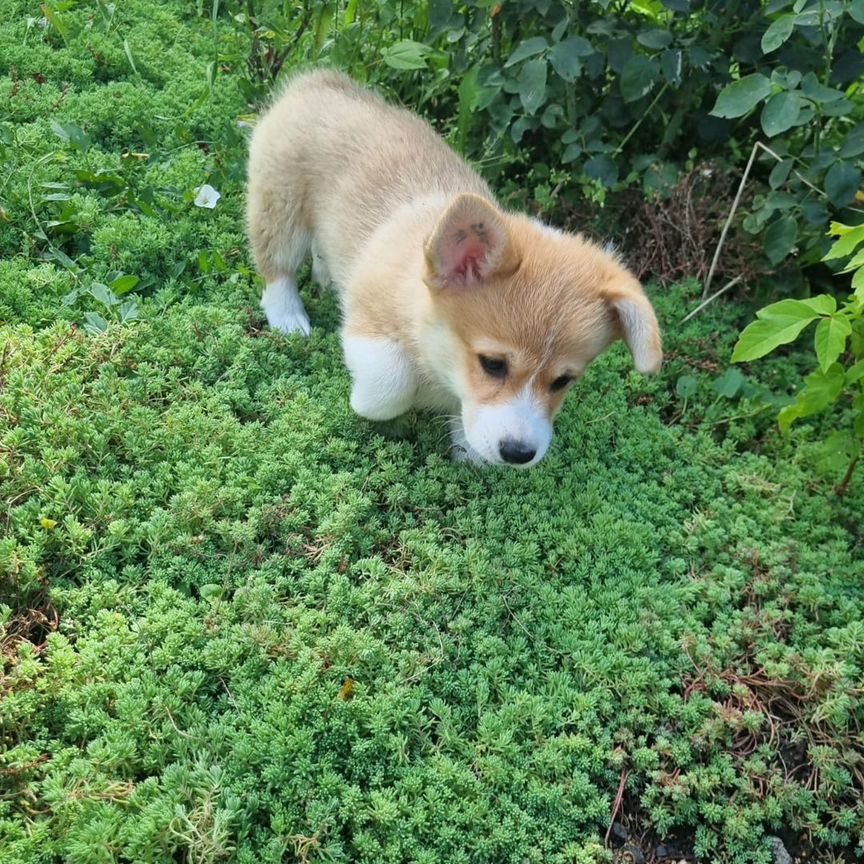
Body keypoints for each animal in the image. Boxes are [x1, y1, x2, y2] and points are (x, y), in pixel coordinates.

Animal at [246, 71, 664, 470]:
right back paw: (288, 319)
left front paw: (469, 452)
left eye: (563, 381)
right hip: (279, 208)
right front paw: (367, 402)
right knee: (277, 268)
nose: (519, 453)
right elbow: (388, 386)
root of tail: (318, 82)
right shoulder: (370, 315)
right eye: (493, 364)